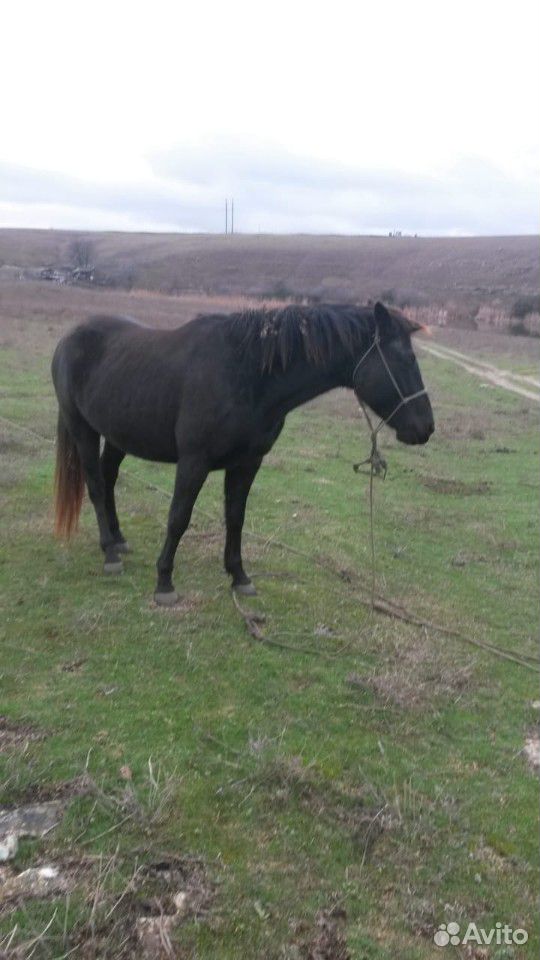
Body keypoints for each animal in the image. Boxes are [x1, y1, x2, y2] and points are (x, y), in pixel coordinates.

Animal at [51, 301, 434, 603]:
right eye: (405, 359)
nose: (426, 428)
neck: (246, 374)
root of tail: (68, 338)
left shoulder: (248, 463)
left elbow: (236, 517)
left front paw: (239, 577)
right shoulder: (193, 462)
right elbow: (179, 518)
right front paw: (164, 582)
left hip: (119, 434)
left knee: (108, 478)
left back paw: (118, 540)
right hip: (82, 428)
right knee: (96, 485)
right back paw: (109, 553)